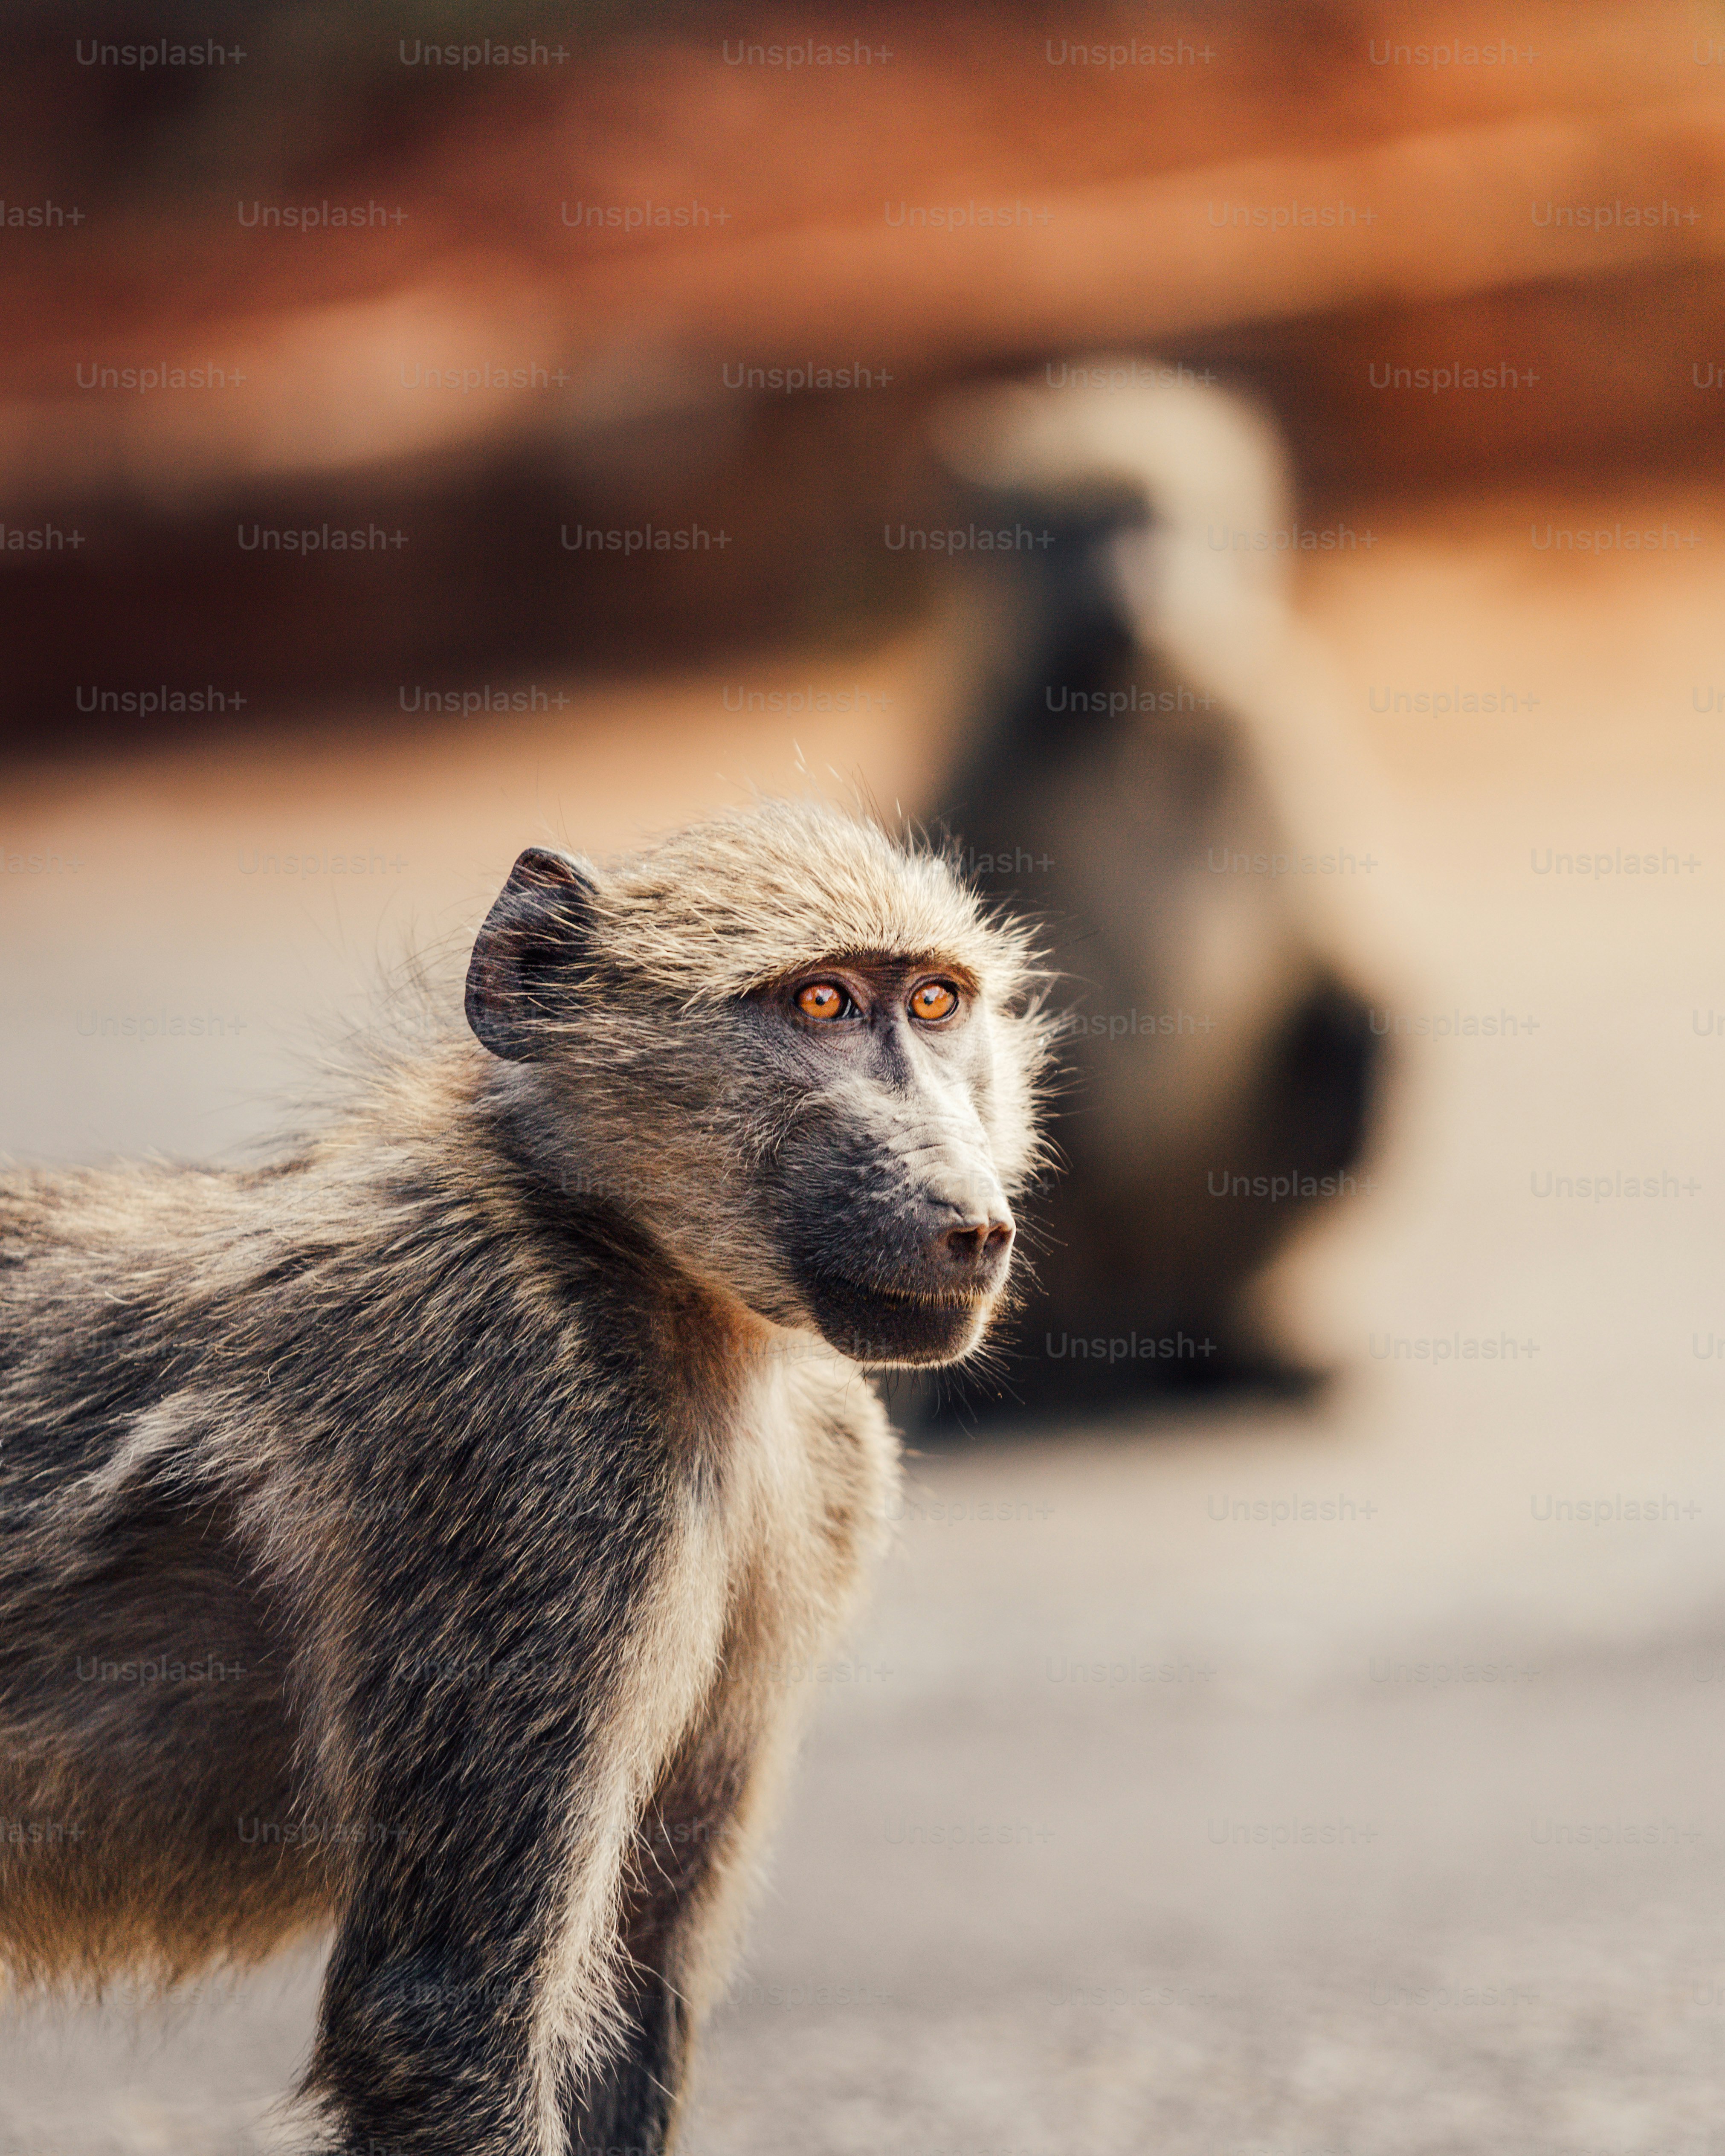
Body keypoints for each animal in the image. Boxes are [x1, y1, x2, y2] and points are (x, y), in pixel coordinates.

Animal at [0, 798, 1046, 2155]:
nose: (967, 1219)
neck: (639, 1265)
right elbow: (439, 2014)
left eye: (933, 1002)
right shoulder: (533, 1436)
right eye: (820, 1003)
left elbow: (631, 1993)